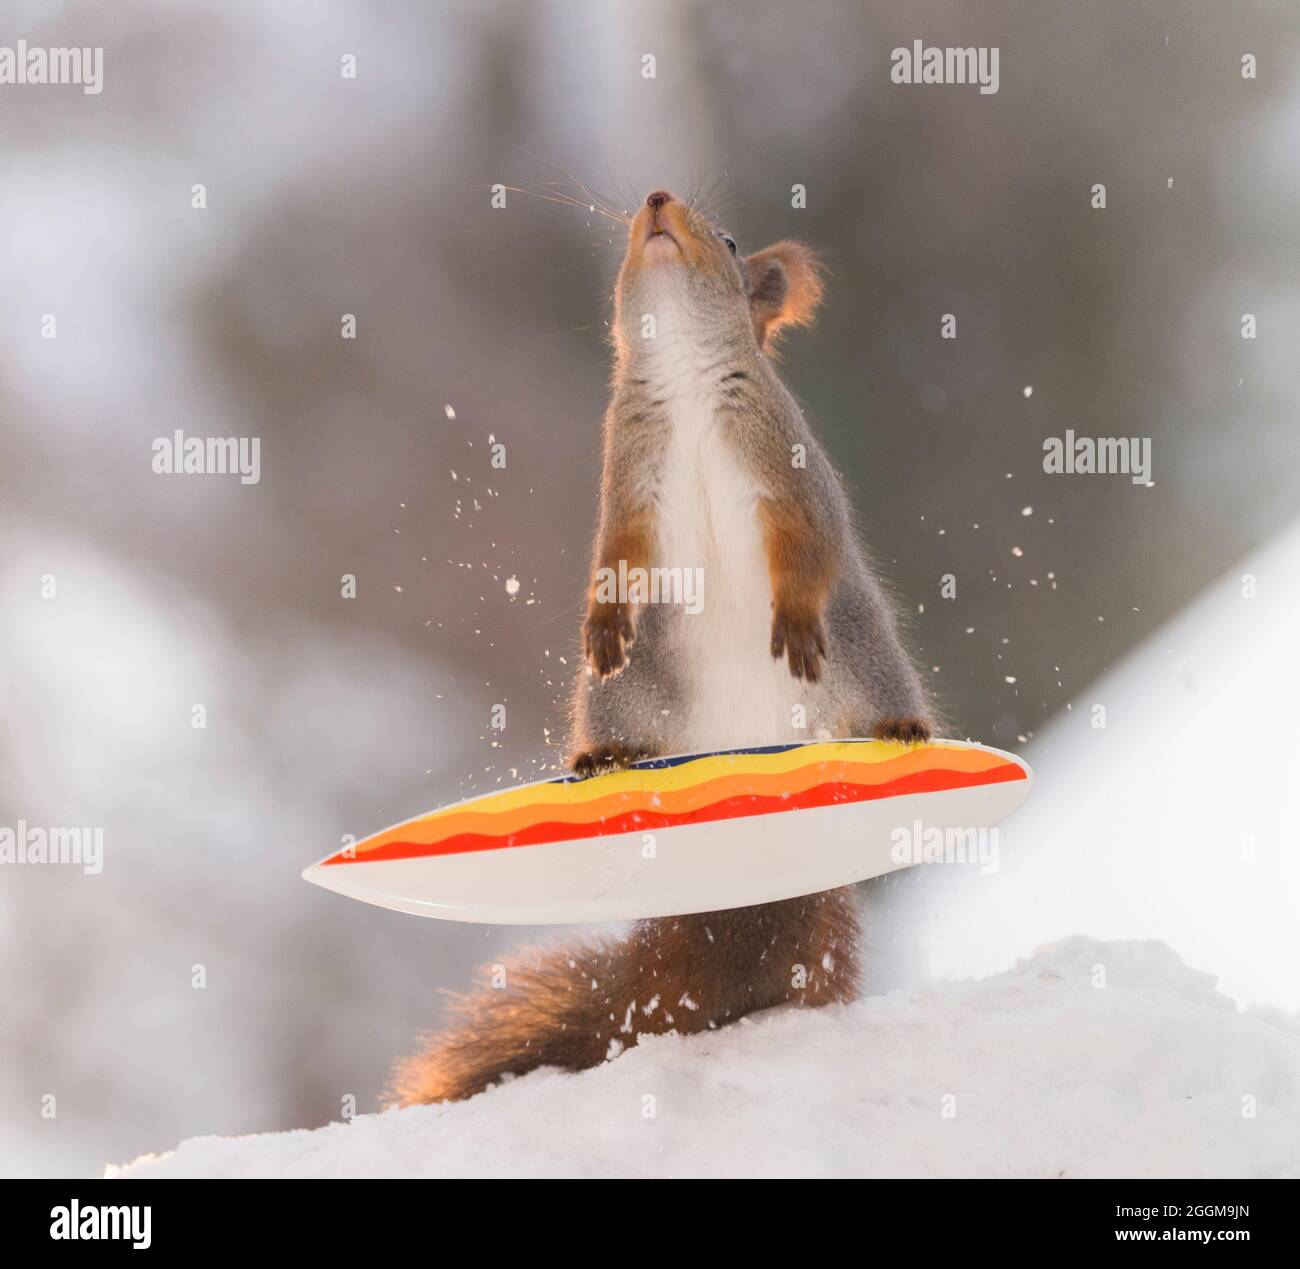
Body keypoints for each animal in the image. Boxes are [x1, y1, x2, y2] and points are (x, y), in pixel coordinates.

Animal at [388, 189, 935, 1107]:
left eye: (733, 239)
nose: (654, 200)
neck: (681, 377)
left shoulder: (791, 466)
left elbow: (813, 542)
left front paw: (793, 619)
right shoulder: (626, 477)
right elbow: (615, 560)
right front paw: (602, 623)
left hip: (866, 661)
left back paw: (904, 735)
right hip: (625, 692)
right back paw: (602, 760)